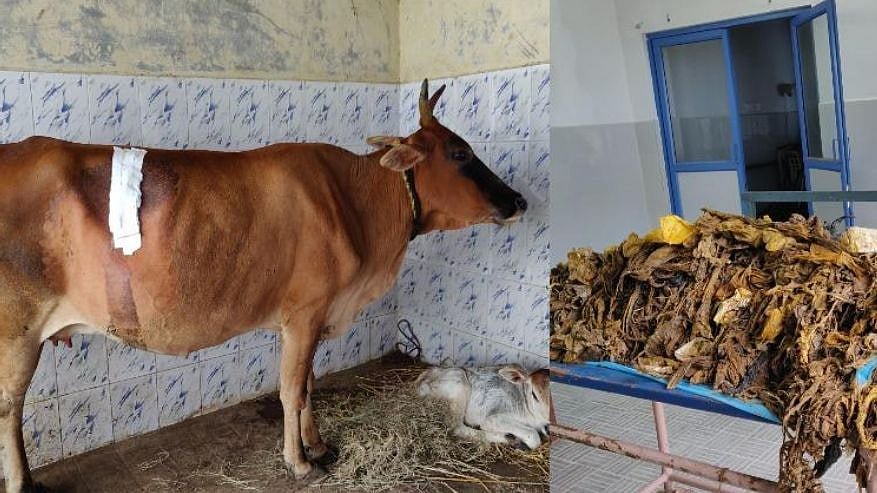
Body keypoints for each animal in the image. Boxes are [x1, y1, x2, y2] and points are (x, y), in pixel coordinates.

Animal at [0, 80, 527, 493]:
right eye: (460, 153)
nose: (520, 200)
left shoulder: (310, 318)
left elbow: (309, 383)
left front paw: (318, 444)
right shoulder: (306, 312)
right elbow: (291, 389)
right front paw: (299, 462)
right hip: (17, 330)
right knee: (10, 406)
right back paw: (23, 482)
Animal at [416, 365, 550, 451]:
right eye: (534, 394)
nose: (549, 426)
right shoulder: (492, 418)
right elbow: (533, 436)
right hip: (459, 385)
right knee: (456, 427)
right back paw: (510, 439)